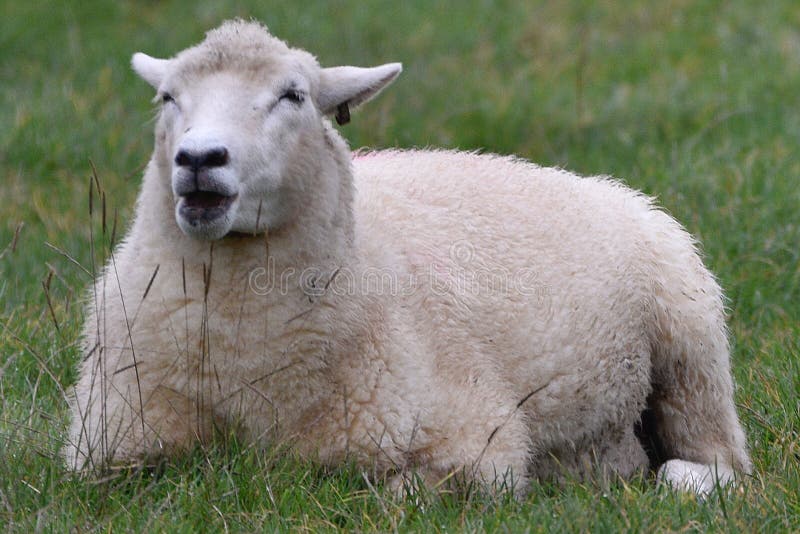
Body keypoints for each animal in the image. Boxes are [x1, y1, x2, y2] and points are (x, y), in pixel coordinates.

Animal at [65, 19, 751, 497]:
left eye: (293, 96)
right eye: (167, 97)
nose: (199, 159)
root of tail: (602, 185)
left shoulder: (477, 447)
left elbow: (401, 494)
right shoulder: (107, 446)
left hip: (692, 348)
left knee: (723, 462)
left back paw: (670, 478)